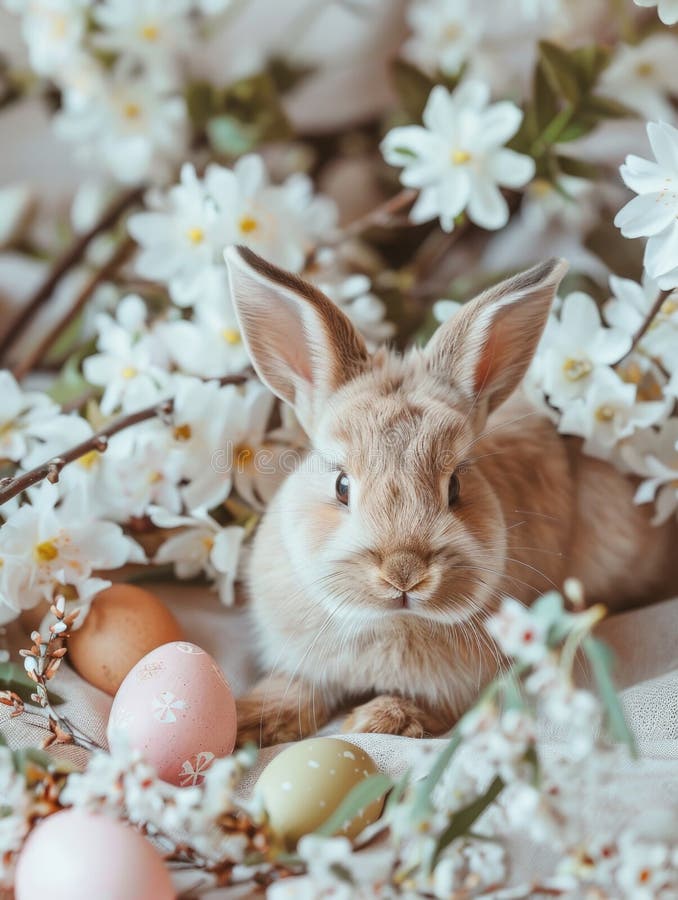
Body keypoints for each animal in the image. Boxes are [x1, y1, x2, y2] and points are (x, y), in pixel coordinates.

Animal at [224, 246, 678, 747]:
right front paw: (246, 718)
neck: (390, 620)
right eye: (342, 485)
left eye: (456, 485)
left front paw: (377, 720)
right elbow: (293, 689)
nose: (404, 573)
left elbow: (430, 709)